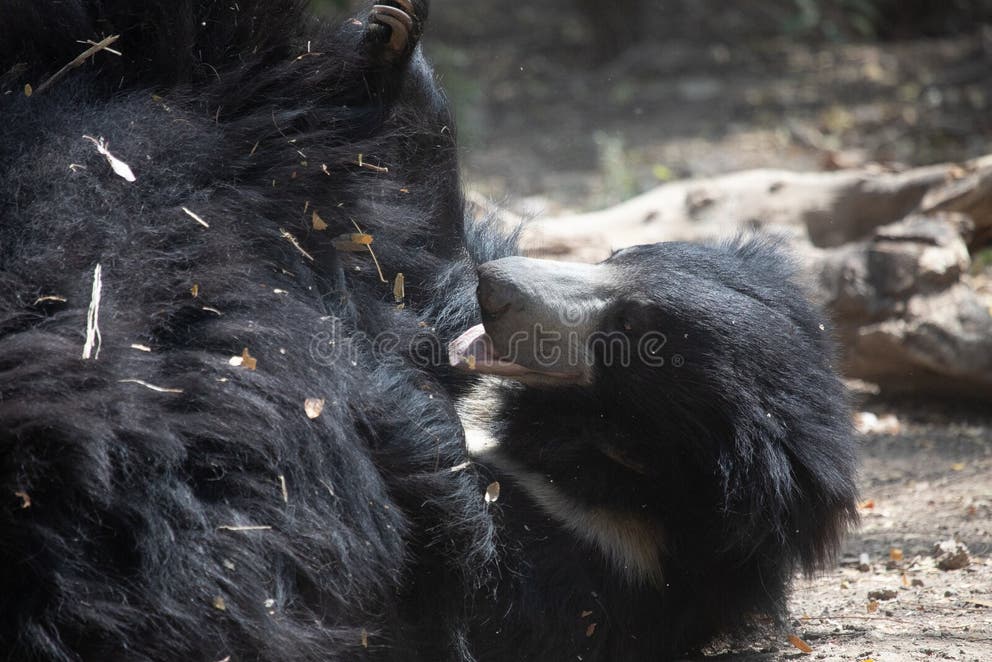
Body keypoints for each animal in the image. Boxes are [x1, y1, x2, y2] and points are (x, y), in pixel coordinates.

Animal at [0, 1, 859, 661]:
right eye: (617, 260)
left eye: (629, 336)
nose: (498, 290)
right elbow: (406, 250)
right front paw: (387, 50)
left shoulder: (606, 569)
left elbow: (467, 571)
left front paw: (389, 397)